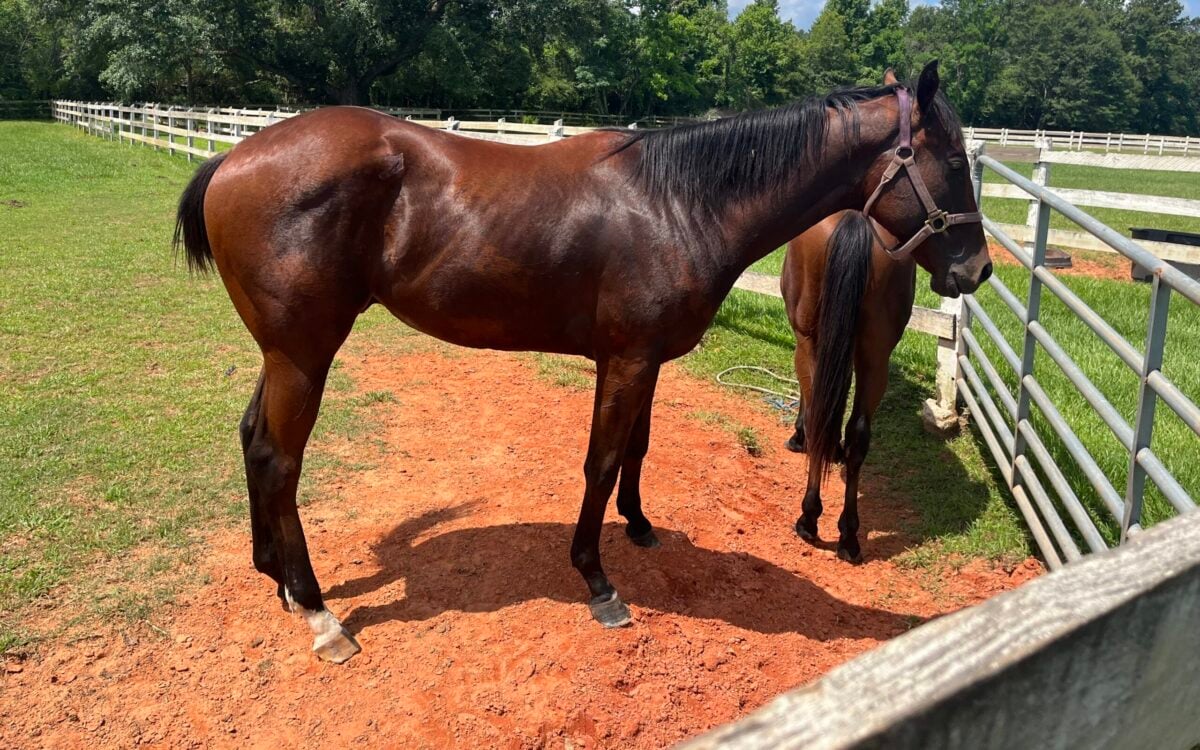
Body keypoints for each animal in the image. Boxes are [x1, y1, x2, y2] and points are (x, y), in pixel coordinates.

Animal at [781, 211, 915, 564]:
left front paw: (798, 436)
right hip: (876, 355)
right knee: (858, 437)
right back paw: (849, 537)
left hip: (812, 341)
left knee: (819, 416)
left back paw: (809, 519)